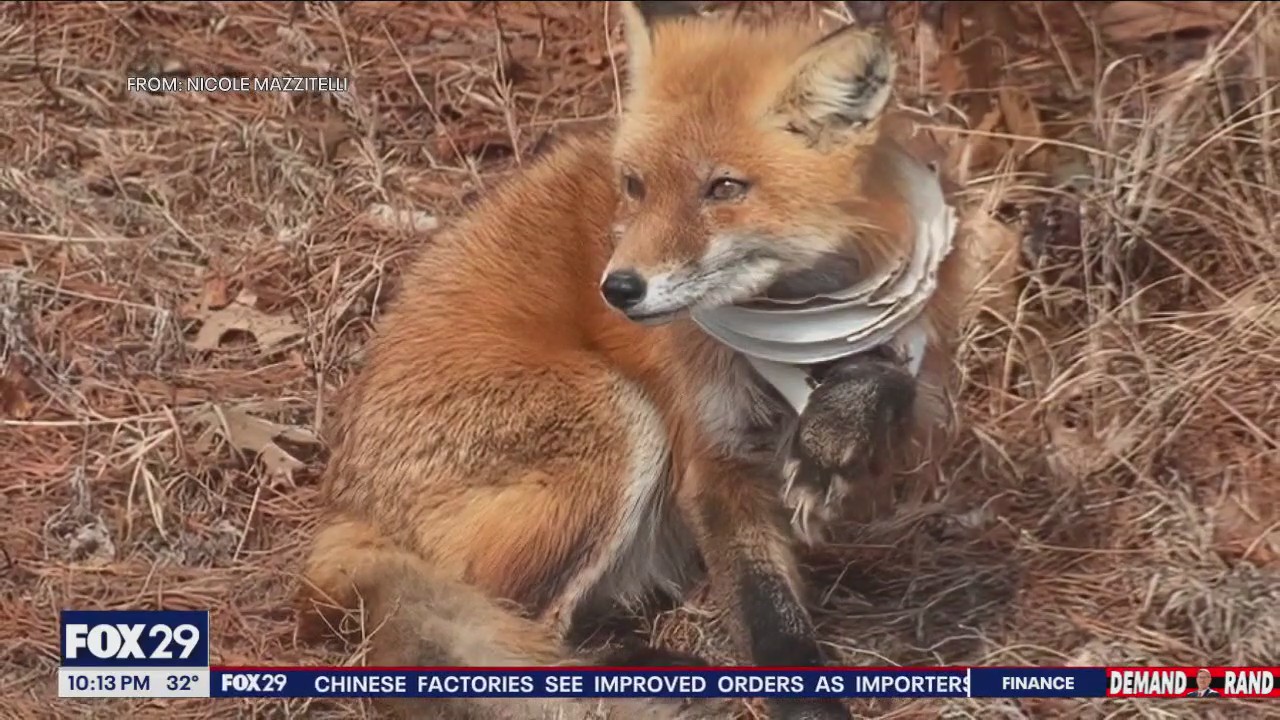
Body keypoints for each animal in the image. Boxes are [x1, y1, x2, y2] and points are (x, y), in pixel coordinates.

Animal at [296, 2, 992, 719]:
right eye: (634, 185)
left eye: (724, 188)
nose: (619, 288)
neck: (794, 325)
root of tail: (344, 511)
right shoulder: (711, 459)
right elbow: (769, 618)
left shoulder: (916, 372)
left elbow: (884, 381)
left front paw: (832, 435)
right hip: (622, 417)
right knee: (519, 632)